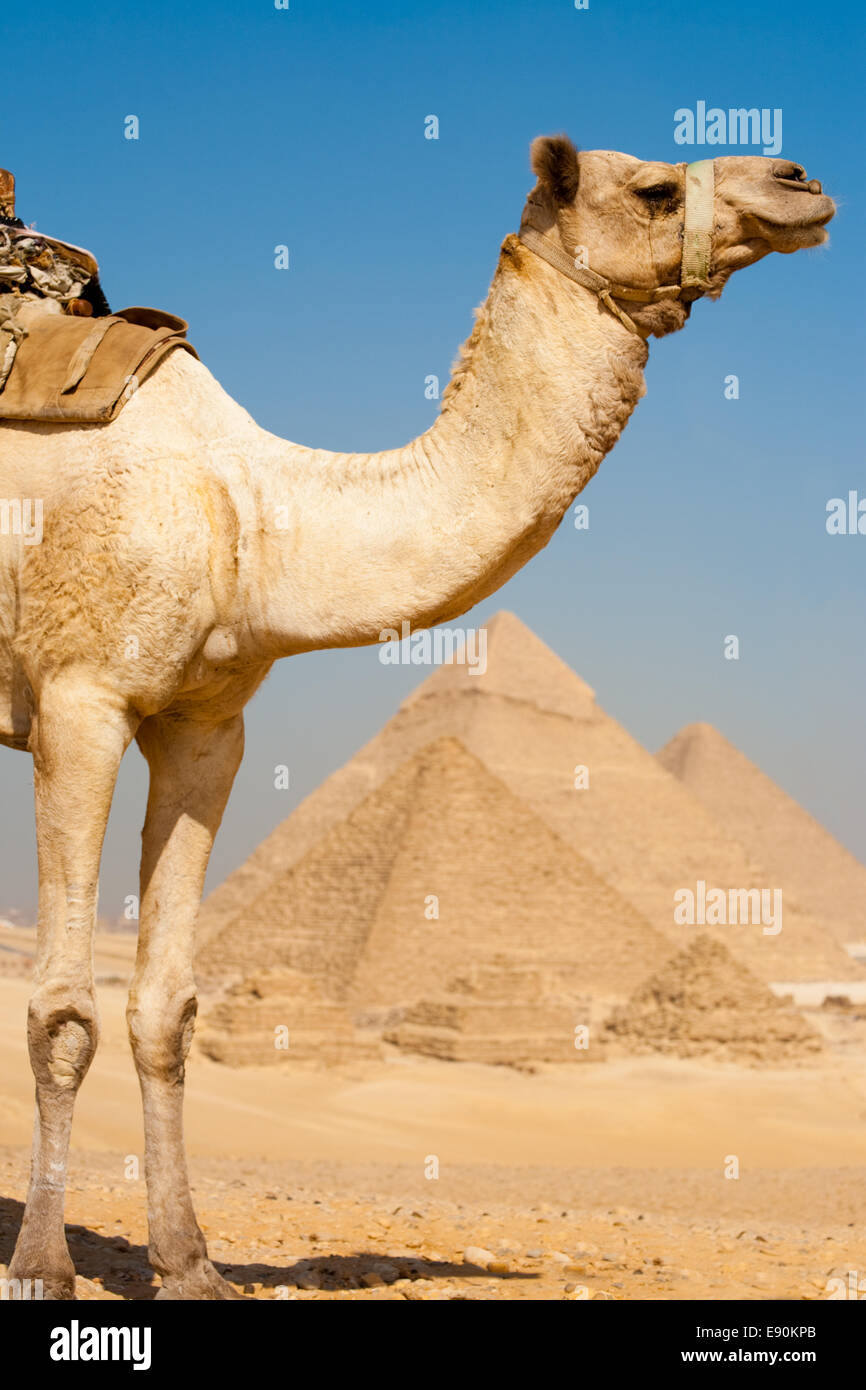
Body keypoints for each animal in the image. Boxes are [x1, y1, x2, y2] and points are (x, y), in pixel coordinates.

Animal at [0, 136, 834, 1299]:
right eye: (654, 187)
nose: (801, 183)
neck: (254, 512)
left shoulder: (207, 728)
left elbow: (164, 1009)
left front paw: (189, 1262)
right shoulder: (79, 697)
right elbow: (62, 1010)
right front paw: (41, 1264)